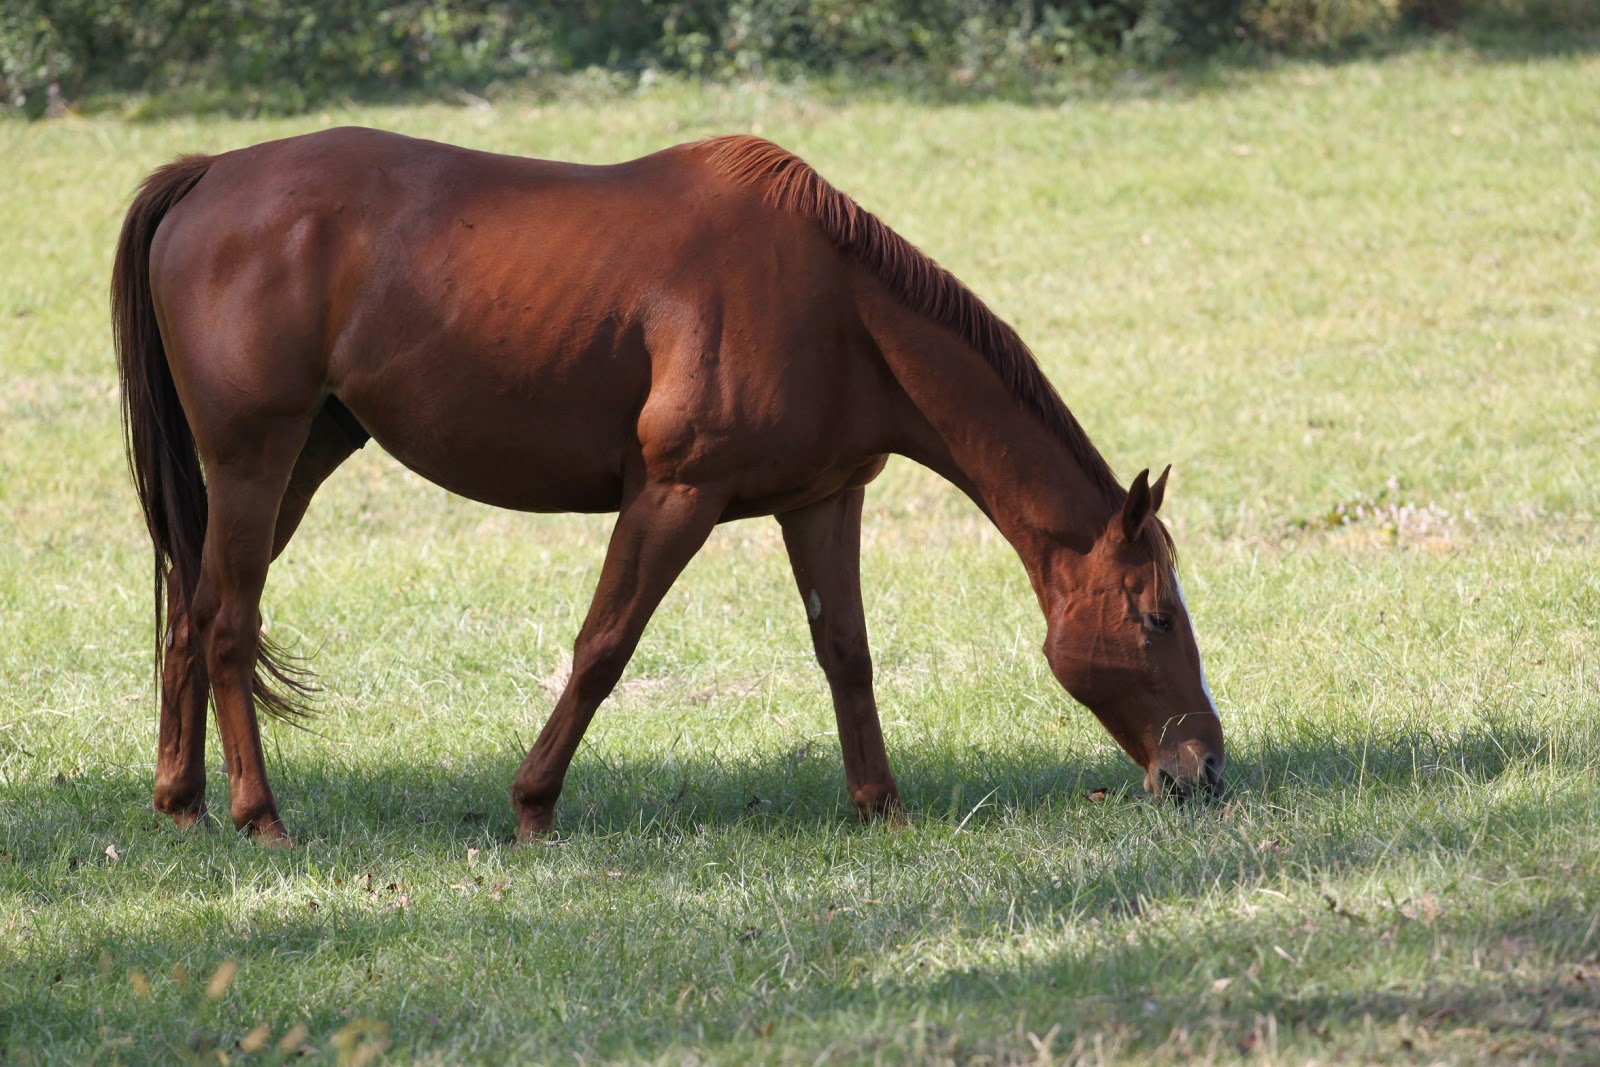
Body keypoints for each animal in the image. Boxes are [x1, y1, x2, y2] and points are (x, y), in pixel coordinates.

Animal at [112, 127, 1224, 844]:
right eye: (1156, 616)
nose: (1205, 769)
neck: (838, 305)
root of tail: (207, 177)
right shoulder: (675, 497)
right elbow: (603, 646)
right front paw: (533, 802)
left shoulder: (823, 500)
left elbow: (847, 655)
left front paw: (881, 803)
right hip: (254, 460)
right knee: (227, 623)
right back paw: (259, 814)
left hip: (291, 462)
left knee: (194, 610)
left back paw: (183, 801)